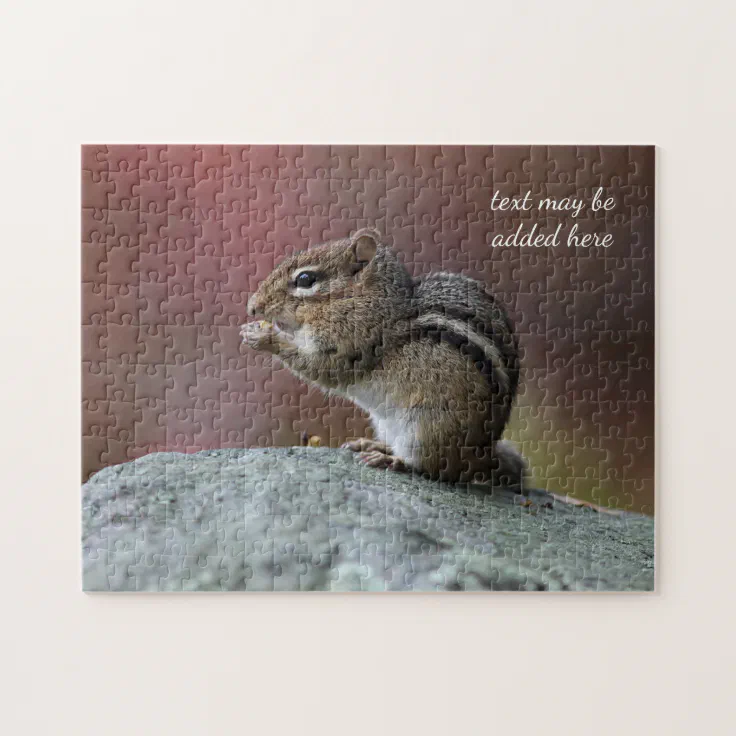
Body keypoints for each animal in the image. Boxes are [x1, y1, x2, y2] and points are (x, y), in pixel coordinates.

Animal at [241, 228, 525, 488]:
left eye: (305, 279)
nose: (252, 307)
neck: (365, 301)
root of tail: (481, 458)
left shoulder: (348, 345)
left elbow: (320, 367)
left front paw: (264, 336)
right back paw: (373, 445)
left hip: (427, 428)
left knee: (433, 468)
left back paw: (393, 460)